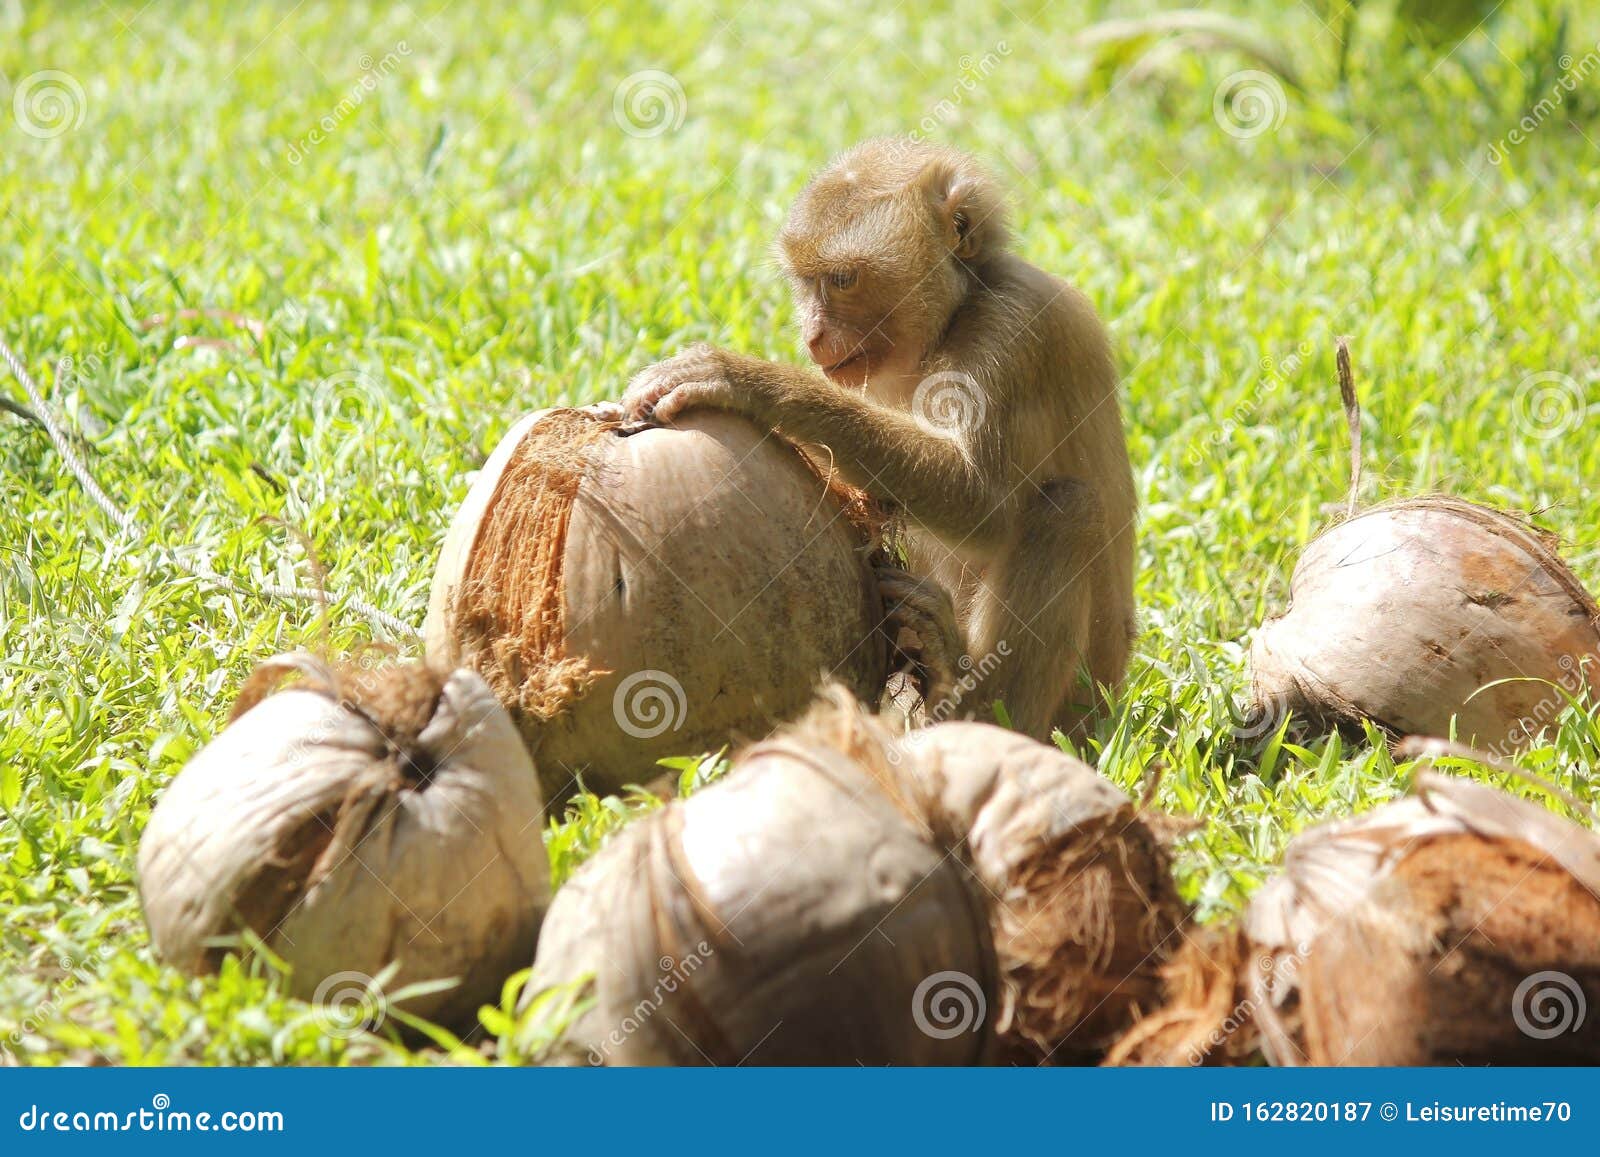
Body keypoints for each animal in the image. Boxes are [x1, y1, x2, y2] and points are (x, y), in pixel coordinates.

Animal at [622, 138, 1135, 741]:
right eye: (808, 282)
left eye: (843, 280)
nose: (812, 335)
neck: (957, 313)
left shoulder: (1010, 331)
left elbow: (983, 503)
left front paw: (748, 381)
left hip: (1083, 702)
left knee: (1067, 510)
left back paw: (965, 696)